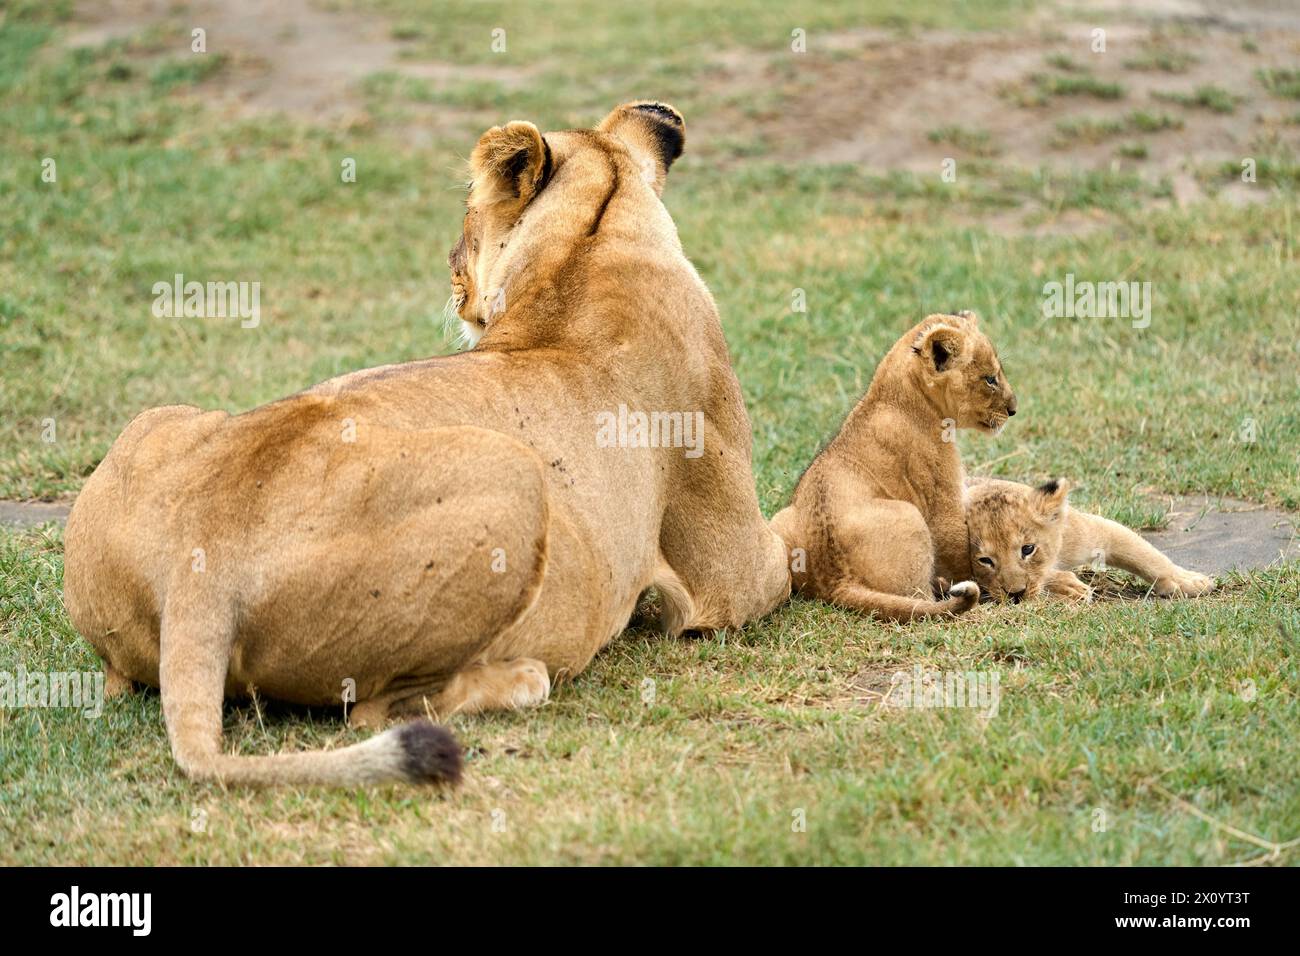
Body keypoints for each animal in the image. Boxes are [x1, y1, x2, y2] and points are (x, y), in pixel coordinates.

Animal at [62, 101, 791, 788]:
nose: (450, 271)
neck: (587, 253)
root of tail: (199, 569)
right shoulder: (731, 581)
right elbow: (785, 552)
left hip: (156, 421)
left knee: (121, 678)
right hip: (513, 475)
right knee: (378, 711)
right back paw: (521, 676)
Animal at [770, 311, 1017, 621]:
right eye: (990, 379)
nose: (1013, 409)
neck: (895, 394)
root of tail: (836, 581)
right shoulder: (942, 499)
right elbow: (960, 551)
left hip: (779, 522)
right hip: (910, 516)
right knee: (922, 602)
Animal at [964, 477, 1216, 602]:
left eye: (1028, 549)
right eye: (985, 560)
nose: (1016, 594)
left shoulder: (1093, 530)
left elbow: (1145, 554)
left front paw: (1188, 581)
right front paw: (1069, 587)